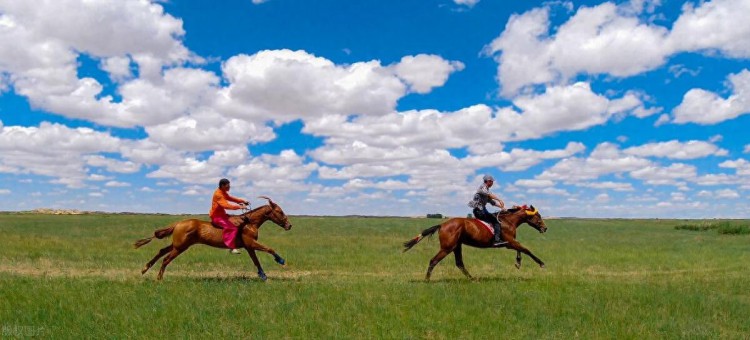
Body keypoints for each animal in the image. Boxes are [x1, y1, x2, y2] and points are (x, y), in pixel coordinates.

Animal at [134, 197, 292, 282]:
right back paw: (159, 278)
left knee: (161, 251)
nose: (289, 225)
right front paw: (281, 260)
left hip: (177, 244)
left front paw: (263, 276)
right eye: (280, 211)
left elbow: (256, 261)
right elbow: (269, 249)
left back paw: (144, 269)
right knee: (166, 259)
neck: (248, 223)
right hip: (180, 247)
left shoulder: (249, 247)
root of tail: (178, 224)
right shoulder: (251, 243)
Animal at [402, 205, 548, 282]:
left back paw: (472, 278)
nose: (545, 228)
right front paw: (541, 263)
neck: (508, 221)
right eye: (538, 216)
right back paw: (427, 280)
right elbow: (526, 250)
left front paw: (518, 262)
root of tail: (442, 225)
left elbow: (521, 249)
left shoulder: (510, 243)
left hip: (457, 246)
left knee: (459, 263)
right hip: (447, 248)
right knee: (433, 261)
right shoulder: (509, 242)